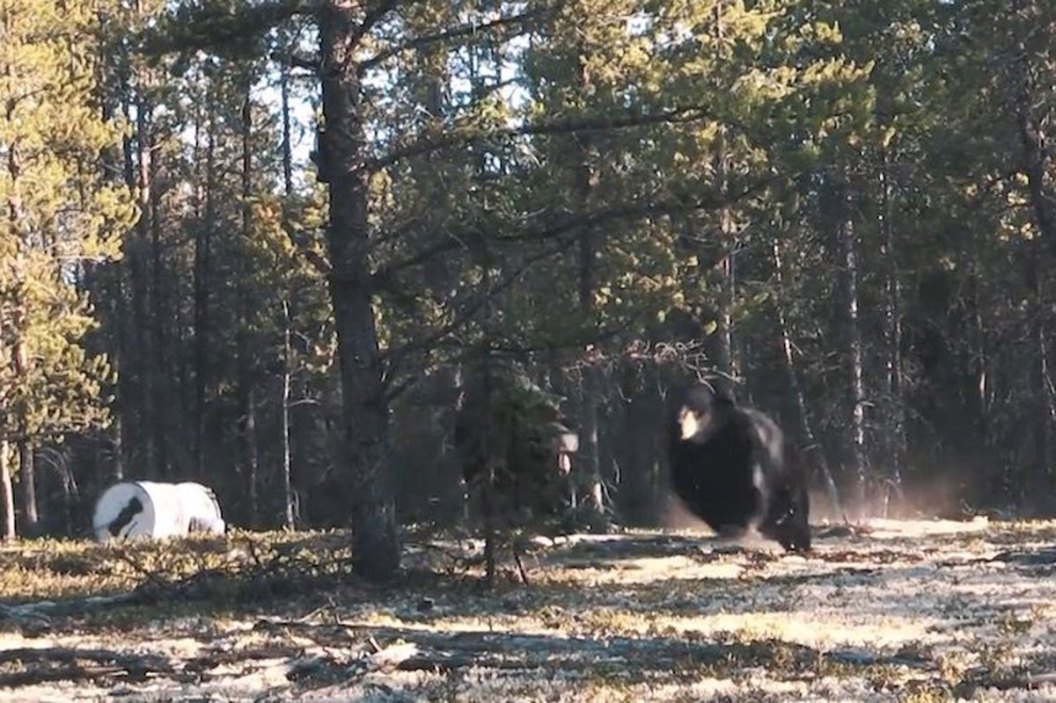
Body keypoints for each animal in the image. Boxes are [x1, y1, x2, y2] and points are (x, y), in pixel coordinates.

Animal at [667, 383, 811, 552]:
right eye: (678, 409)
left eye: (697, 412)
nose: (679, 425)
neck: (708, 443)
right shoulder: (684, 457)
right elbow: (693, 490)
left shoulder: (744, 445)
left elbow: (752, 487)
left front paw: (740, 525)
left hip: (786, 471)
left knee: (792, 505)